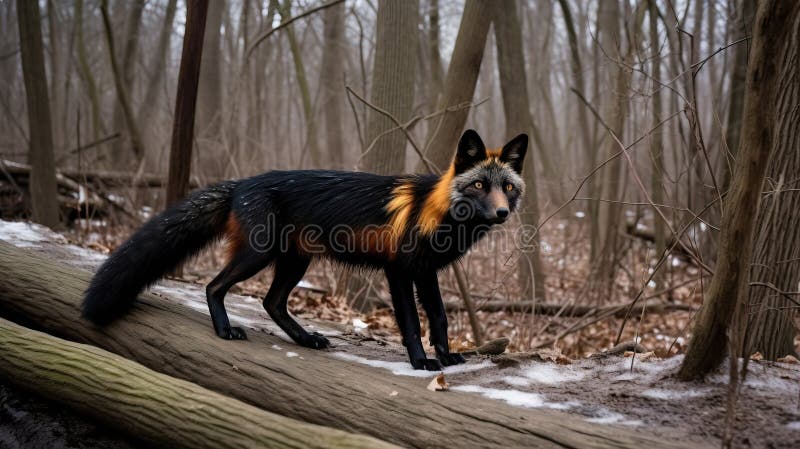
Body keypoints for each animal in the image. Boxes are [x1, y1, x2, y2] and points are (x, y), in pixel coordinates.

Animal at [82, 129, 527, 370]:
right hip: (258, 256)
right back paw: (224, 330)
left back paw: (305, 340)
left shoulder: (427, 271)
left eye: (507, 186)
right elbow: (413, 324)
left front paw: (447, 357)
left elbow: (439, 319)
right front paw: (420, 362)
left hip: (296, 261)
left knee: (272, 303)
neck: (438, 212)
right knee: (214, 287)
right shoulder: (400, 270)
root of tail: (242, 183)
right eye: (478, 185)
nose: (503, 213)